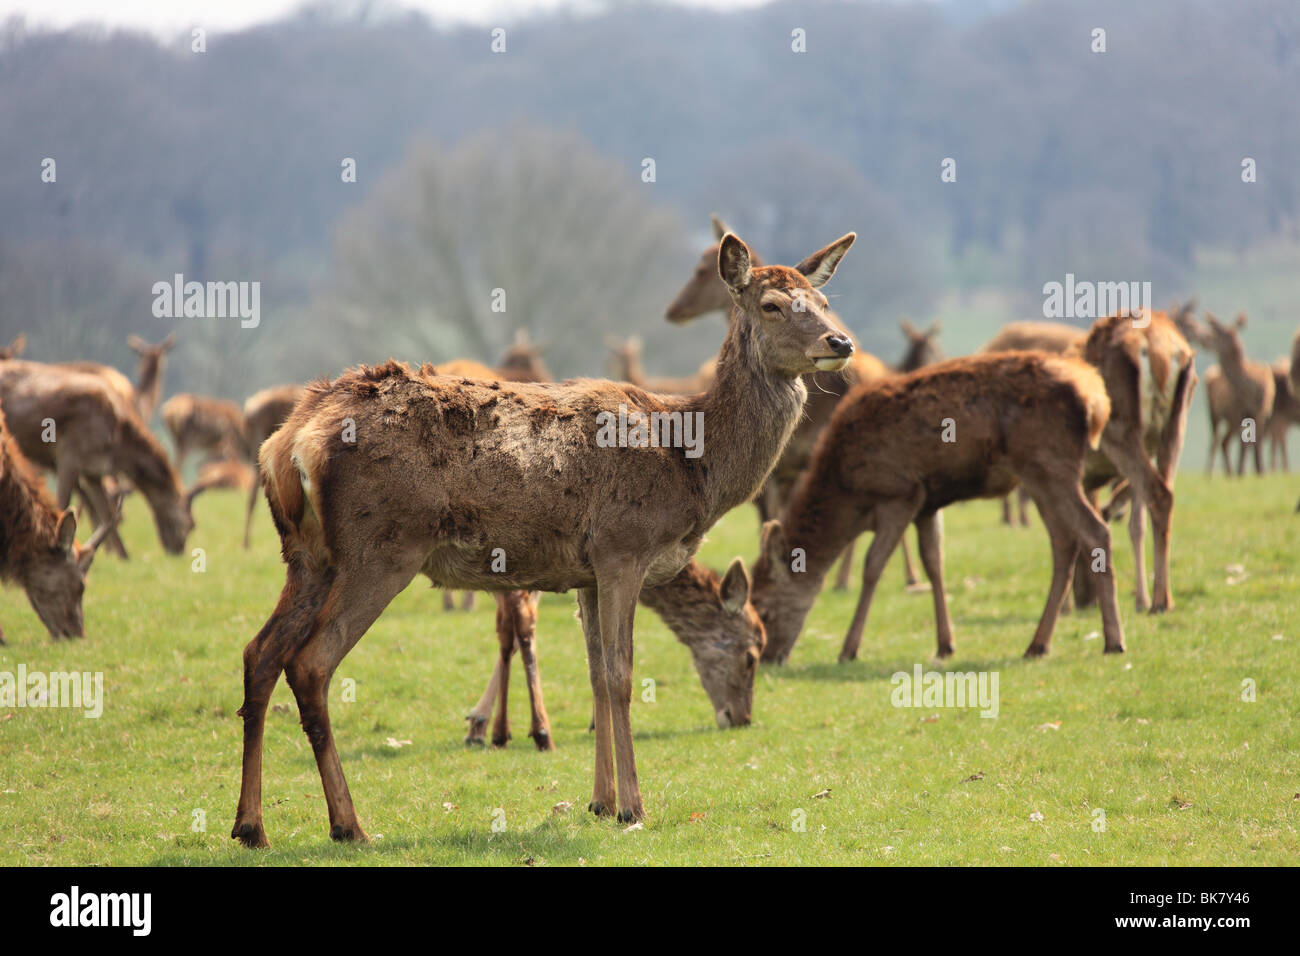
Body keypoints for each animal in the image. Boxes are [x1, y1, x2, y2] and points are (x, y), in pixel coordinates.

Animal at [0, 361, 194, 558]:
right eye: (190, 524)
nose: (179, 549)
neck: (117, 446)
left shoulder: (93, 471)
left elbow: (107, 513)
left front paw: (123, 556)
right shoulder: (68, 455)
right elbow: (63, 503)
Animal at [750, 351, 1123, 664]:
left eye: (762, 608)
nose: (768, 658)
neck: (848, 492)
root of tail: (1096, 400)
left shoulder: (901, 492)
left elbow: (873, 566)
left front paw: (848, 649)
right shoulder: (928, 504)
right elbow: (934, 563)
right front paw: (945, 644)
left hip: (1048, 461)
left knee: (1095, 530)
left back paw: (1112, 641)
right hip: (1039, 472)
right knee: (1064, 540)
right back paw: (1039, 644)